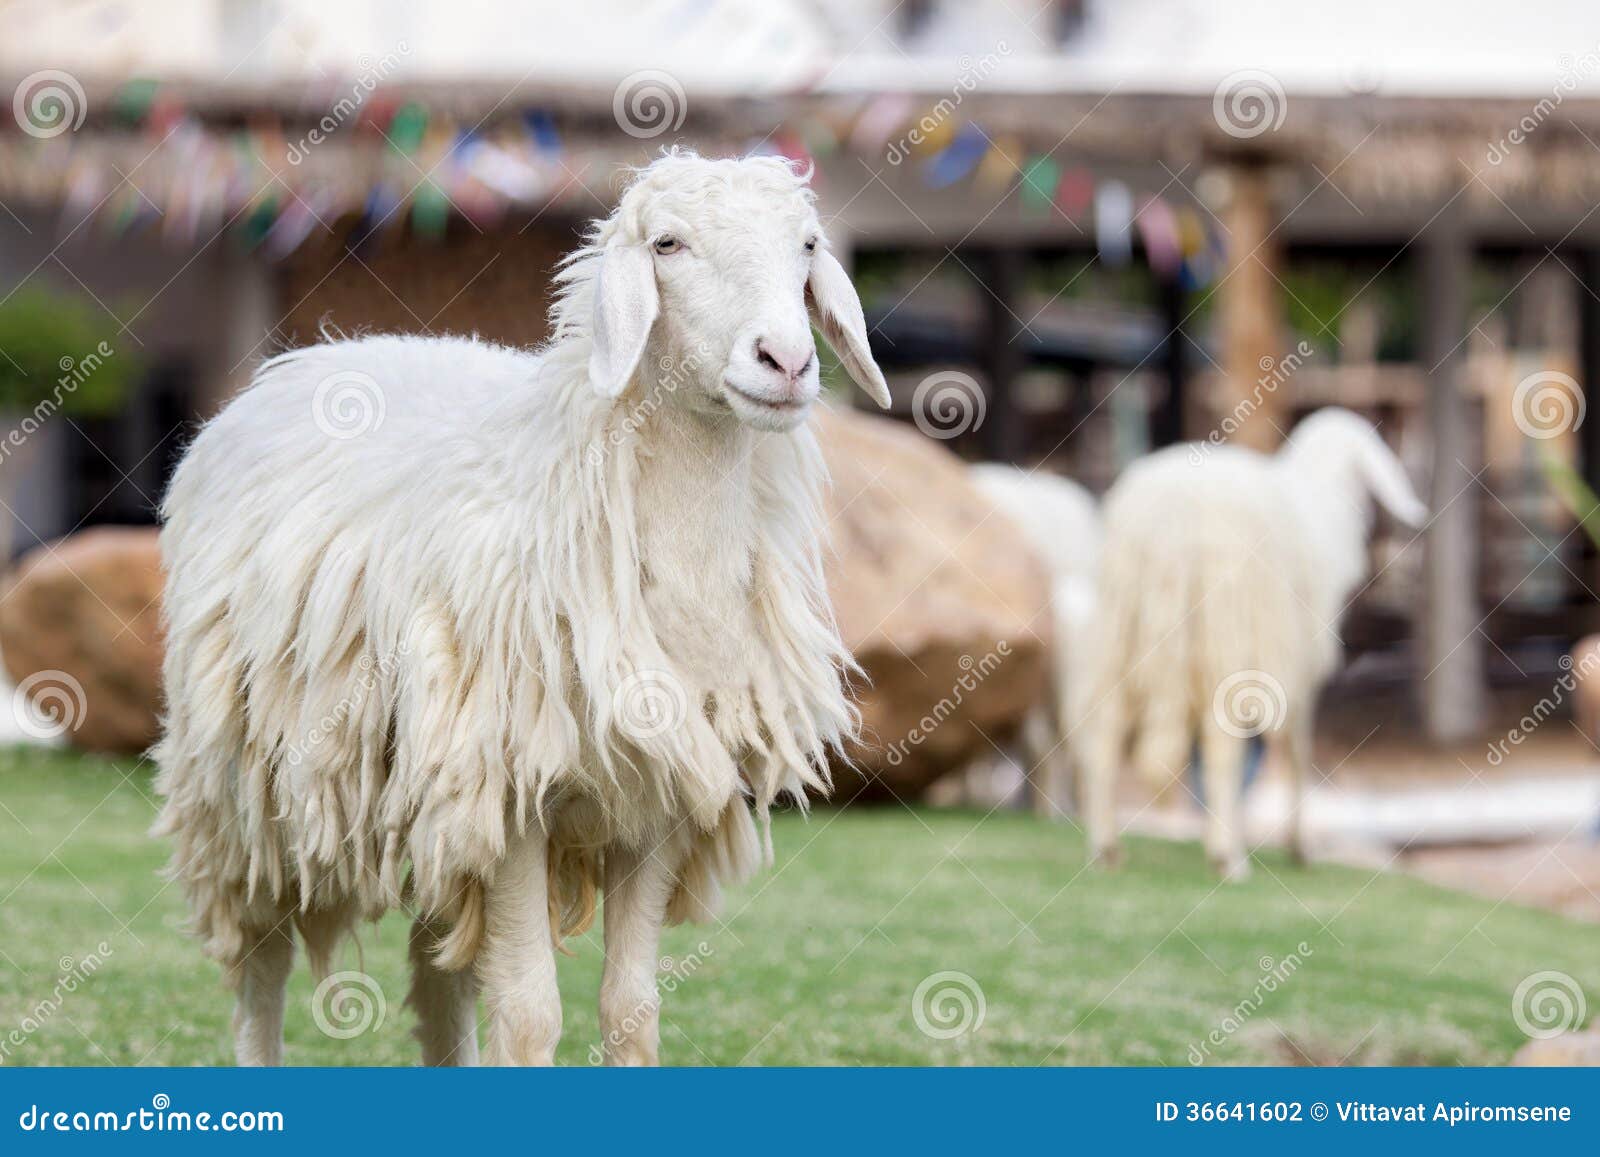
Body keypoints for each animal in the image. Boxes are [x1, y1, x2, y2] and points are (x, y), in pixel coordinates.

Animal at [152, 153, 892, 1067]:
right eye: (668, 244)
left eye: (808, 245)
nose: (785, 361)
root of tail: (321, 351)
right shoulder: (507, 793)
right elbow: (530, 1011)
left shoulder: (658, 792)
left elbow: (630, 1007)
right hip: (243, 784)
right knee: (261, 962)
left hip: (434, 796)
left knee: (439, 974)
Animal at [1076, 408, 1426, 880]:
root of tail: (1168, 515)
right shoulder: (1297, 660)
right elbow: (1296, 749)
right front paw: (1298, 846)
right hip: (1224, 631)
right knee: (1221, 746)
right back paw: (1231, 860)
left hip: (1120, 628)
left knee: (1105, 731)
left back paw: (1105, 848)